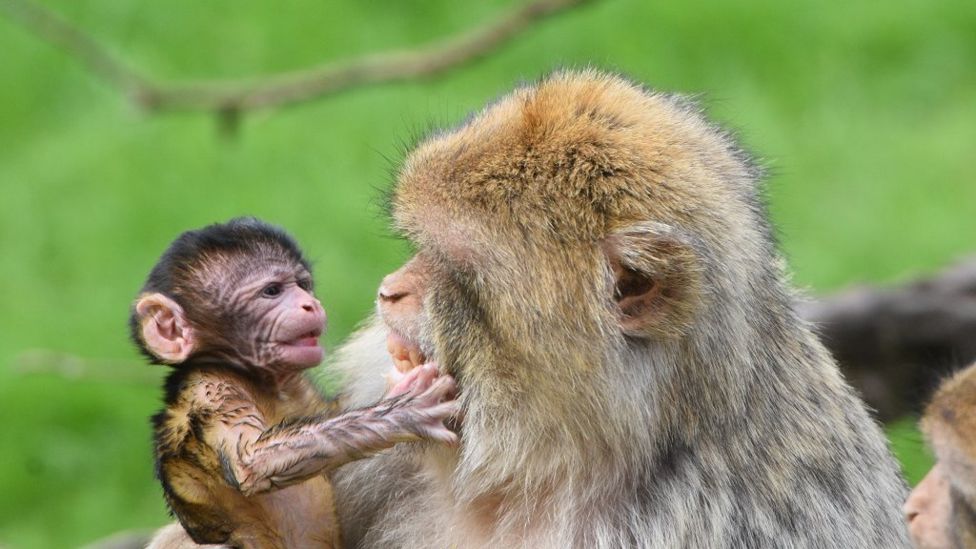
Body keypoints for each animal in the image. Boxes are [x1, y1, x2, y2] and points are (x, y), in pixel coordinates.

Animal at [131, 218, 459, 549]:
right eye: (272, 291)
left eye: (302, 285)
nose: (310, 305)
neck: (260, 380)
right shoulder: (213, 390)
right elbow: (253, 463)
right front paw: (405, 411)